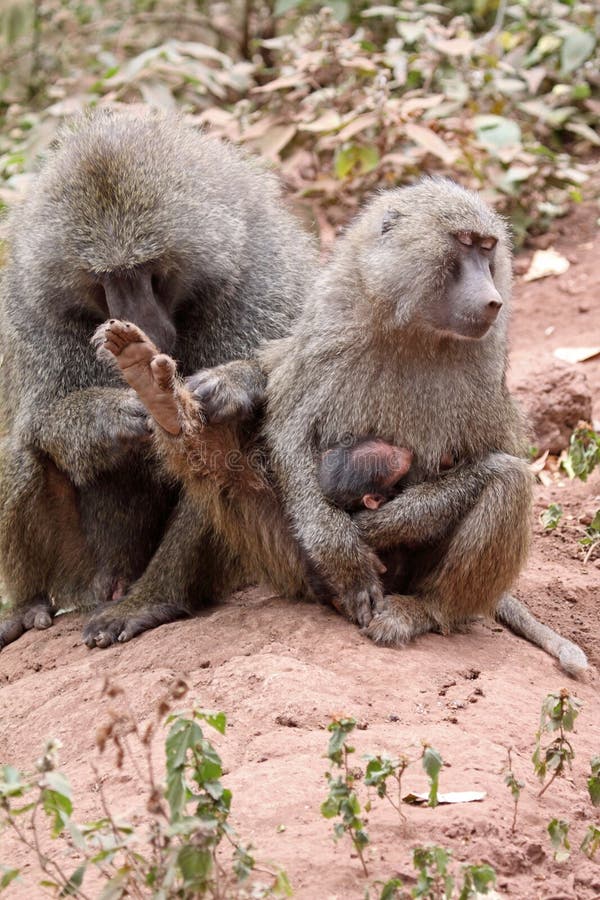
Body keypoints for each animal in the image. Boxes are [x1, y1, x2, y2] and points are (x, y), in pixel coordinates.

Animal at [0, 106, 318, 651]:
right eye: (103, 278)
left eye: (145, 270)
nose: (135, 327)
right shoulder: (31, 306)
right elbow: (36, 420)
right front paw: (106, 415)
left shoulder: (258, 273)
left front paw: (231, 384)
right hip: (81, 573)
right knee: (18, 454)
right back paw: (27, 606)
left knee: (213, 448)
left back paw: (147, 601)